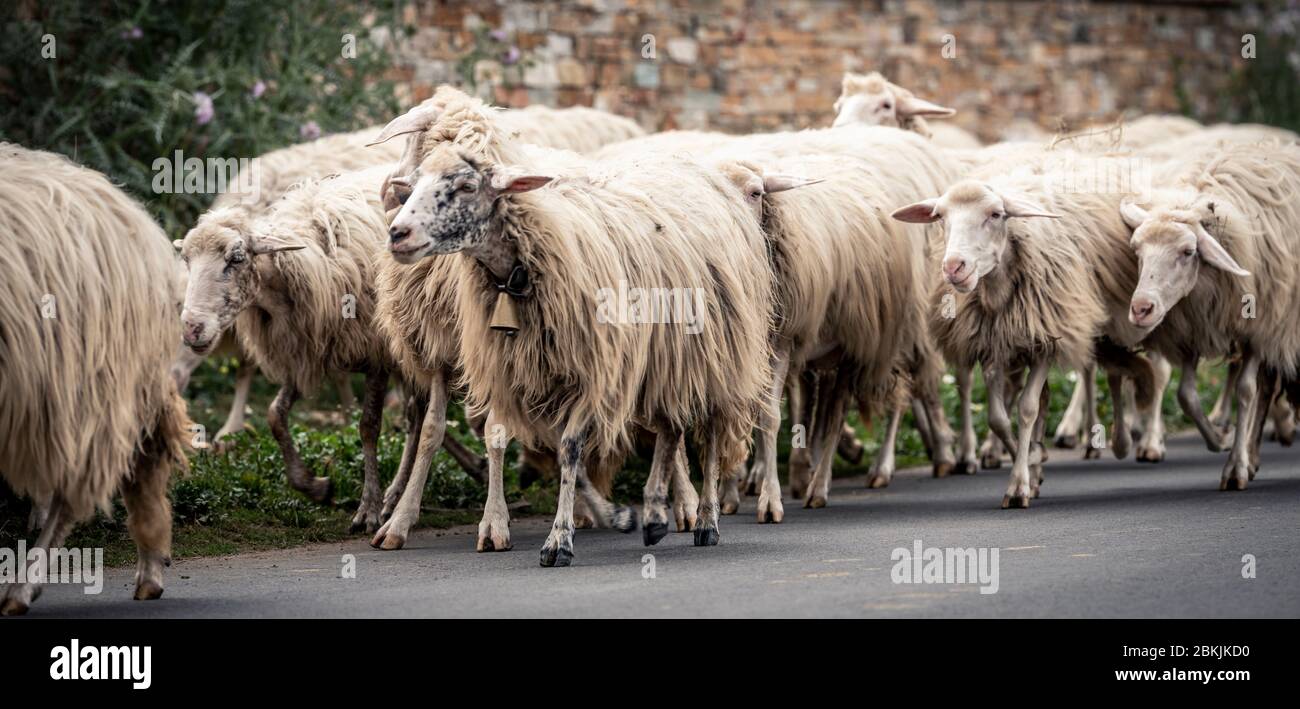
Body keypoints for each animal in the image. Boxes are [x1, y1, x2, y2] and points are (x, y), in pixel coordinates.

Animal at [179, 165, 398, 533]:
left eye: (236, 258)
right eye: (186, 261)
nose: (191, 328)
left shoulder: (377, 354)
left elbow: (368, 427)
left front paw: (368, 507)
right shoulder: (302, 353)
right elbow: (274, 416)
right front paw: (314, 485)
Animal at [383, 93, 774, 564]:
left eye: (465, 186)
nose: (398, 229)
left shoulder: (594, 367)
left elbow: (563, 446)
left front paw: (551, 536)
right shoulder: (487, 361)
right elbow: (440, 432)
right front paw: (402, 521)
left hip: (717, 349)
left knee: (709, 433)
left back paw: (702, 517)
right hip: (666, 355)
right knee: (670, 428)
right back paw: (656, 513)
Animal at [893, 156, 1160, 508]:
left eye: (995, 214)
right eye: (939, 217)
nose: (953, 267)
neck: (997, 288)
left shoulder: (1047, 341)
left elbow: (1027, 409)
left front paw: (1019, 484)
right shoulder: (994, 348)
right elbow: (998, 418)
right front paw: (1033, 463)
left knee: (1121, 371)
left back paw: (1122, 441)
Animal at [1119, 139, 1300, 490]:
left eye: (1188, 252)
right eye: (1136, 250)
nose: (1141, 309)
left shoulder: (1259, 330)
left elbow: (1246, 391)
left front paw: (1236, 468)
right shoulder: (1193, 329)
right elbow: (1186, 396)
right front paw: (1221, 439)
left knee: (1263, 389)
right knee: (1268, 389)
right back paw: (1253, 455)